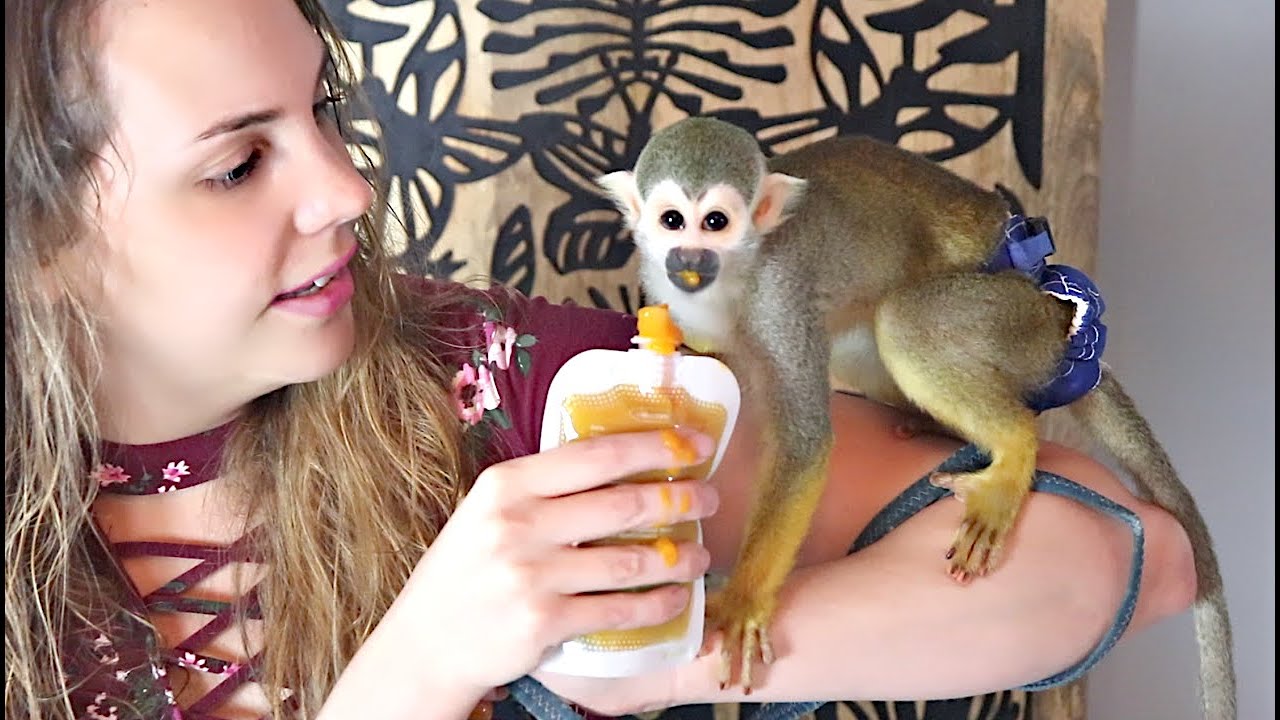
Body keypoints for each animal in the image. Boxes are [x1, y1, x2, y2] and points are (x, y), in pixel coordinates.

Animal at [596, 116, 1235, 719]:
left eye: (716, 222)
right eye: (673, 221)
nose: (690, 258)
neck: (731, 281)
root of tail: (1066, 325)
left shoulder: (781, 296)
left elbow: (804, 441)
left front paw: (743, 604)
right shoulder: (663, 285)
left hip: (1017, 319)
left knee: (905, 323)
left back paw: (1012, 452)